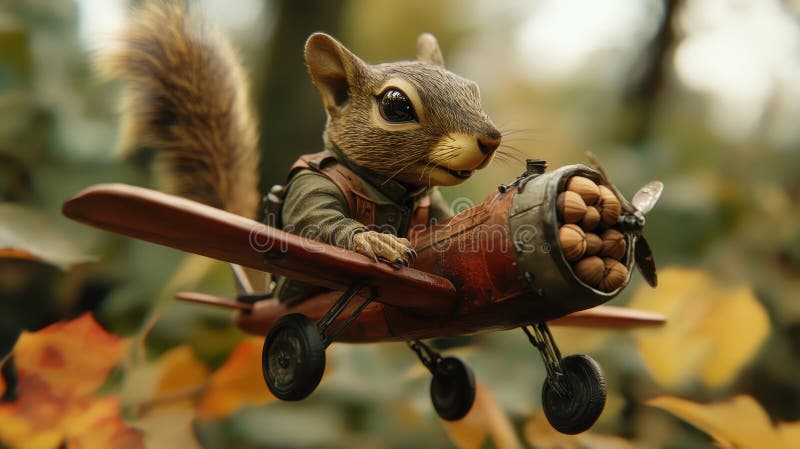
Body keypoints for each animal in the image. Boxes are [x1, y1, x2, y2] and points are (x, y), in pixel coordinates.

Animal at [99, 2, 502, 302]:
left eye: (472, 90)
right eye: (396, 105)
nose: (491, 138)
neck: (396, 191)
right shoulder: (312, 182)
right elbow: (313, 220)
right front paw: (374, 239)